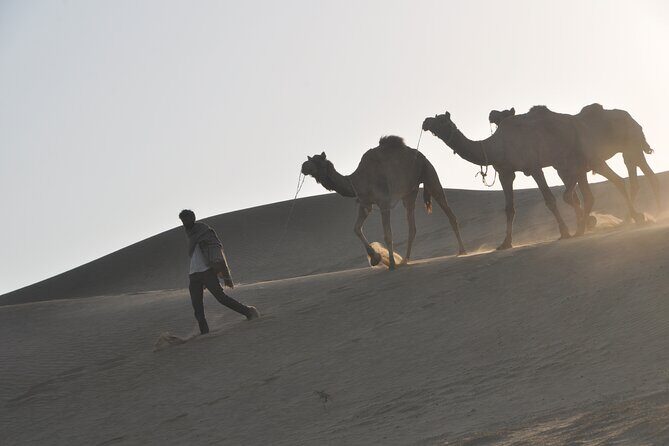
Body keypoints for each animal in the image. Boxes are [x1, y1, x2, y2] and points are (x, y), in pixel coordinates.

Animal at [300, 135, 466, 270]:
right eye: (309, 159)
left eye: (317, 160)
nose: (303, 166)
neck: (357, 181)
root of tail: (421, 155)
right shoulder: (365, 204)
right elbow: (356, 229)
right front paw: (376, 258)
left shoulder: (384, 203)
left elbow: (387, 234)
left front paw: (391, 264)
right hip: (409, 193)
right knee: (412, 226)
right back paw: (405, 260)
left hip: (429, 173)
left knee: (449, 213)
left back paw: (462, 251)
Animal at [423, 109, 593, 249]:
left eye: (441, 120)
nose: (426, 121)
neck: (498, 147)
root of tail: (575, 121)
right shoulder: (505, 173)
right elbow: (509, 209)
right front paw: (505, 243)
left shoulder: (534, 167)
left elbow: (549, 200)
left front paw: (564, 232)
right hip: (564, 159)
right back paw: (584, 224)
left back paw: (584, 224)